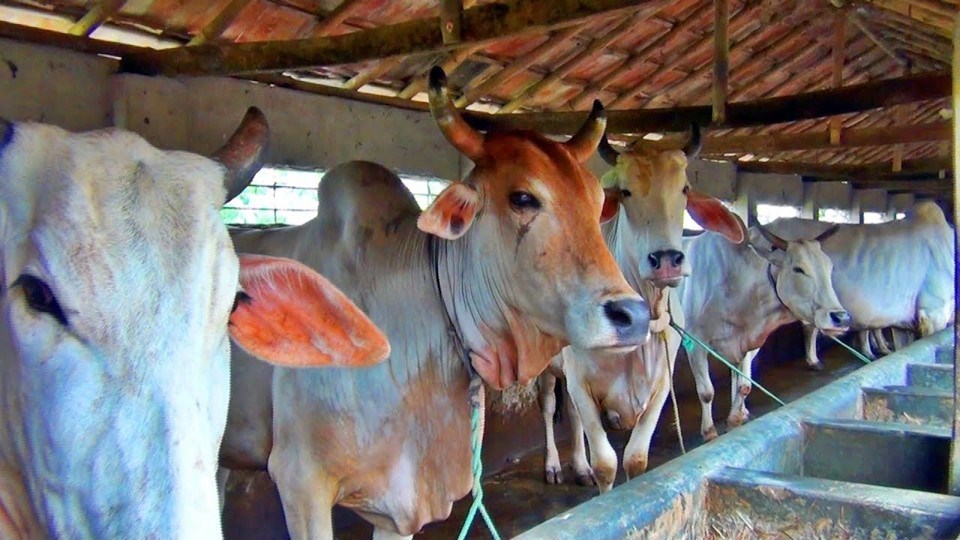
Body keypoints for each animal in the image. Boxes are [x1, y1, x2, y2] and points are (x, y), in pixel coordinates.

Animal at [538, 127, 746, 493]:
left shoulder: (661, 382)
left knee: (573, 418)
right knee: (549, 408)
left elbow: (635, 459)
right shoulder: (581, 380)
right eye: (625, 191)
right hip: (546, 369)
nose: (666, 260)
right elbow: (606, 464)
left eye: (684, 188)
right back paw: (553, 465)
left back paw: (579, 467)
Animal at [681, 221, 851, 440]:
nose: (841, 318)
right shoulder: (695, 342)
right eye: (798, 268)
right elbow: (707, 392)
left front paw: (736, 417)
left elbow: (744, 385)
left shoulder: (748, 341)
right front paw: (709, 432)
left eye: (830, 267)